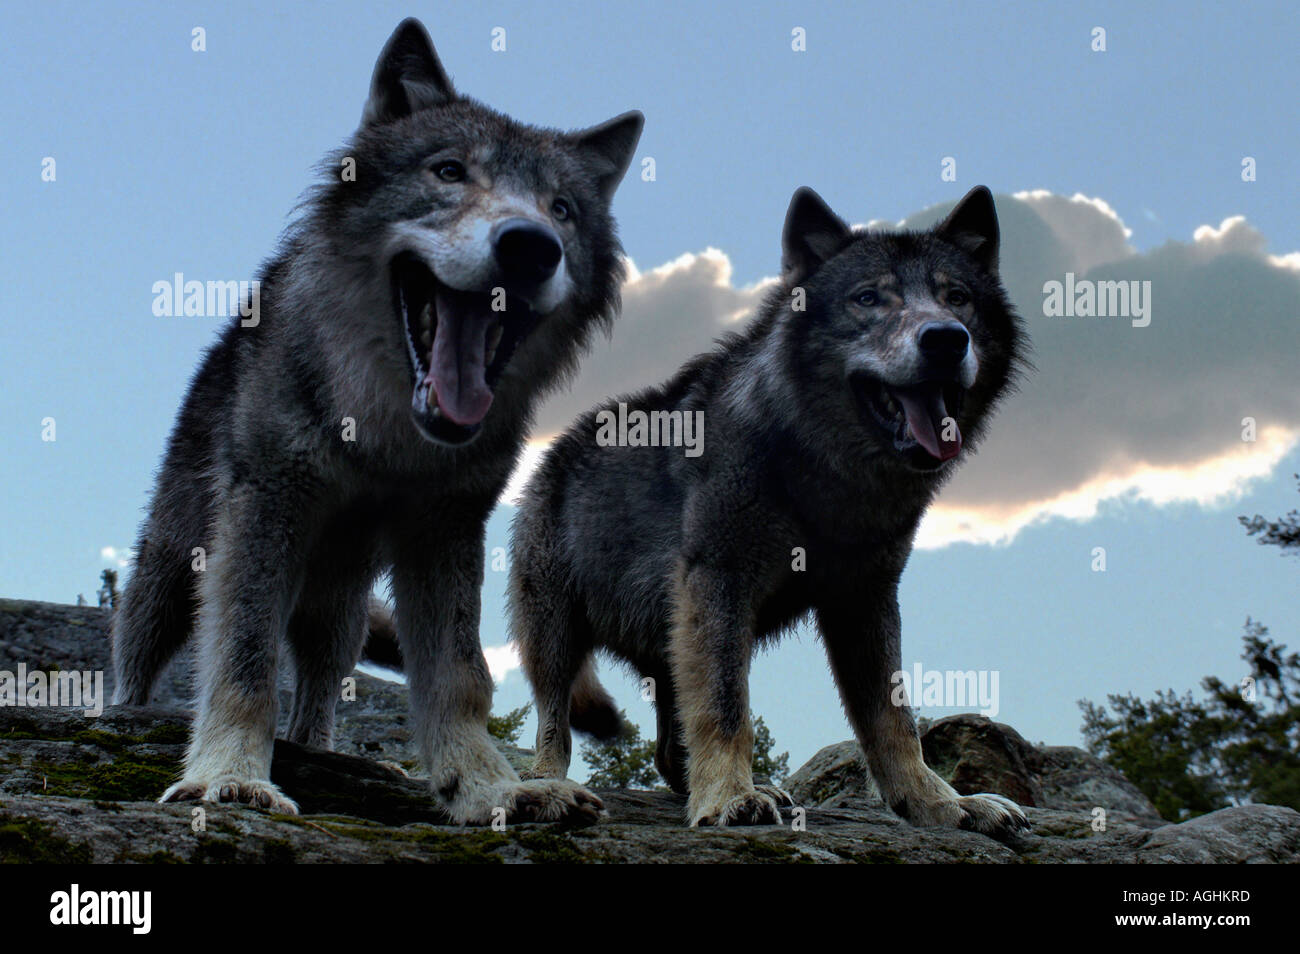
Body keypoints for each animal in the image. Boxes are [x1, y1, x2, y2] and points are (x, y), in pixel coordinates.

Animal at [110, 18, 643, 824]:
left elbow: (459, 676)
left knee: (321, 678)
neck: (388, 440)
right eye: (449, 172)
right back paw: (117, 719)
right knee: (139, 652)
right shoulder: (262, 514)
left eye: (562, 210)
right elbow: (243, 660)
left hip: (340, 607)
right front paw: (229, 774)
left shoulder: (446, 532)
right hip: (174, 569)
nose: (531, 246)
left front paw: (488, 787)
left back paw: (323, 752)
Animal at [509, 186, 1031, 832]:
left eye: (956, 297)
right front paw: (730, 799)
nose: (946, 337)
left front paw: (942, 805)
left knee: (667, 748)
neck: (823, 476)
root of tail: (557, 446)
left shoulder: (866, 600)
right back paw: (549, 789)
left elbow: (895, 723)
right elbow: (726, 705)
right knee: (553, 728)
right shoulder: (720, 582)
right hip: (557, 635)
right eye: (868, 298)